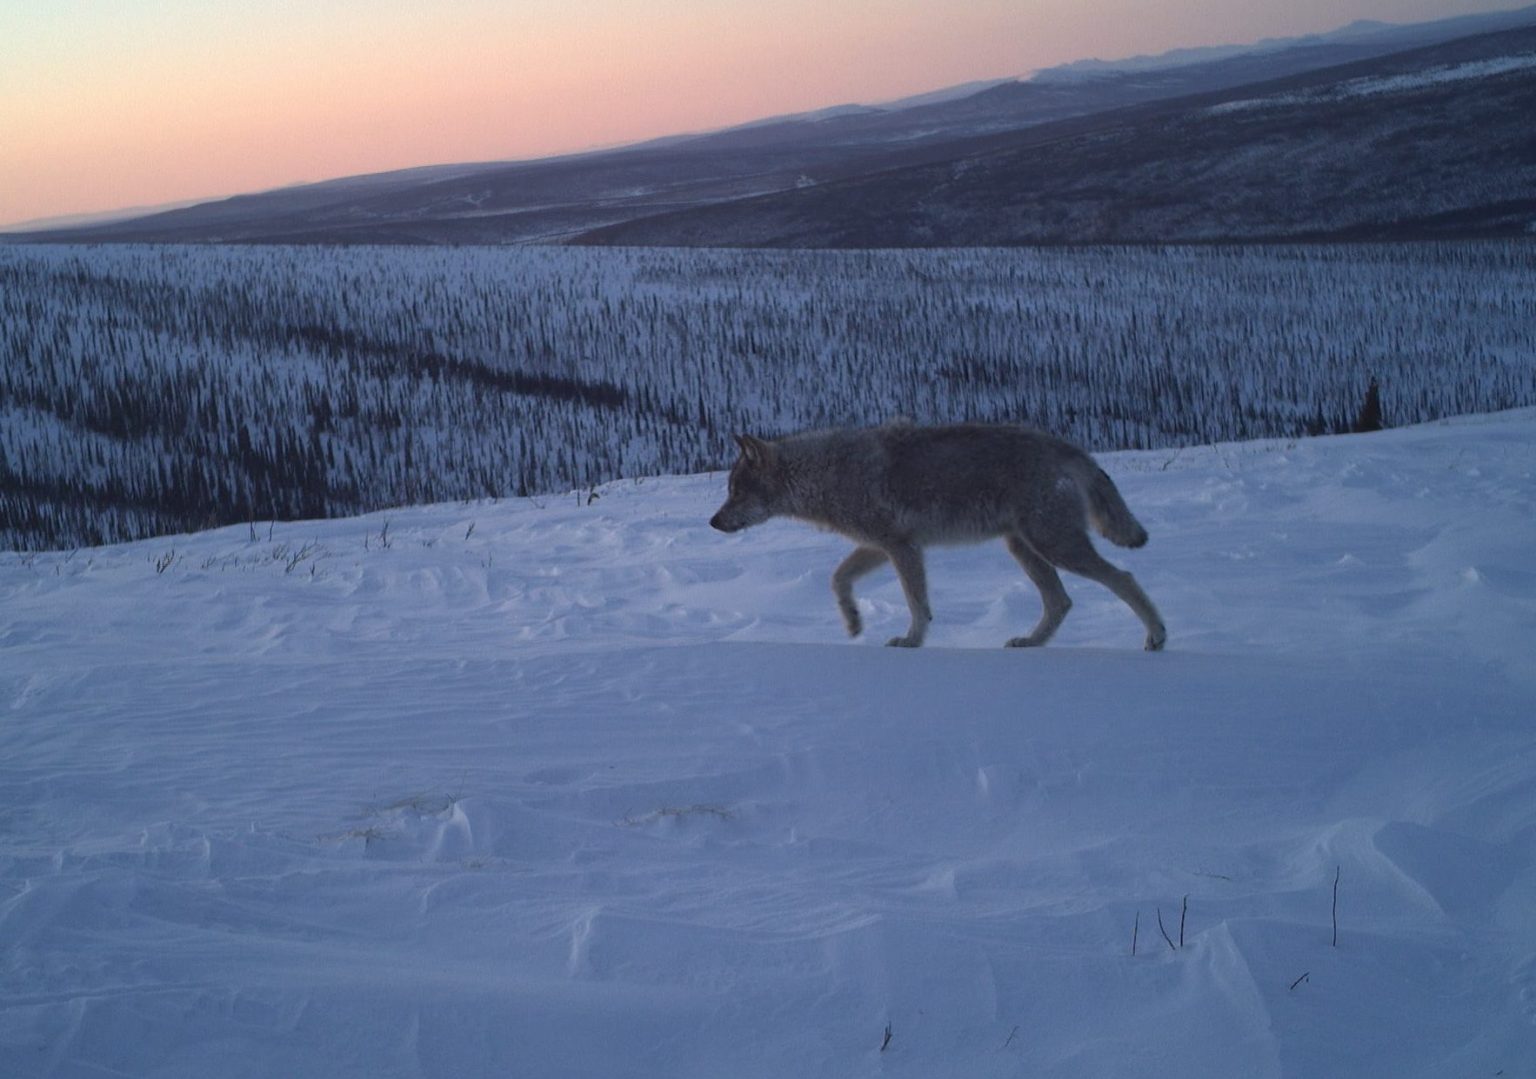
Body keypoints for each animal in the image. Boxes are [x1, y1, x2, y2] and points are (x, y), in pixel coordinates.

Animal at [709, 423, 1166, 650]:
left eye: (736, 492)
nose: (713, 522)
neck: (827, 474)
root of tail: (1066, 447)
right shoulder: (879, 546)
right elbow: (838, 579)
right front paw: (854, 623)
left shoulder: (902, 547)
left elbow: (918, 604)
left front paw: (912, 641)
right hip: (1024, 548)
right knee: (1061, 601)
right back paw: (1030, 642)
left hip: (1054, 545)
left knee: (1122, 578)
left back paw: (1156, 637)